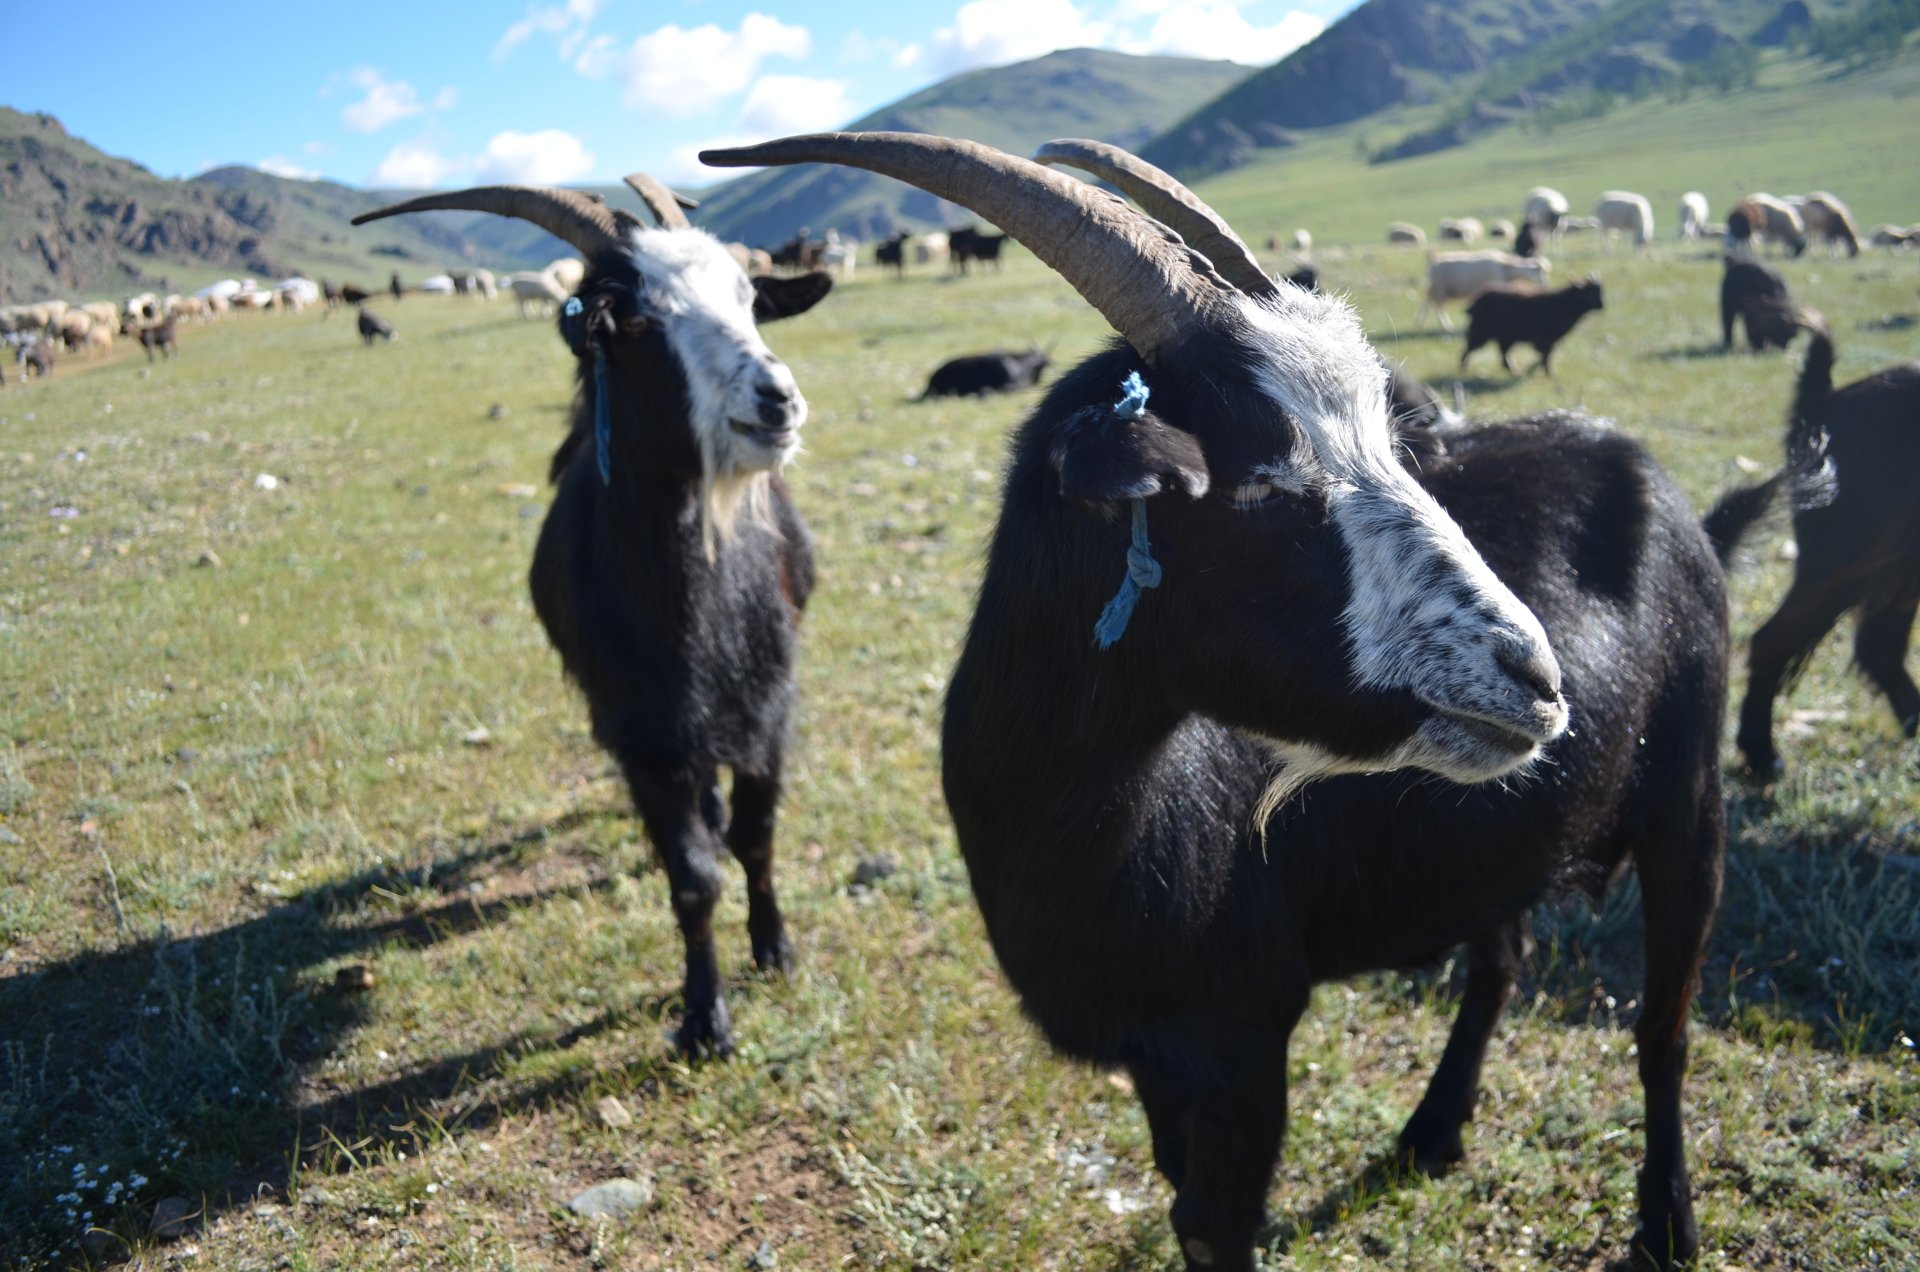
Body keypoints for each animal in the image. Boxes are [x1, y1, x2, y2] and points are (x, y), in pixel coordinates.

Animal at [355, 172, 833, 1058]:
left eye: (749, 297)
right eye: (635, 319)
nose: (776, 401)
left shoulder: (770, 702)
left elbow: (756, 837)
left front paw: (775, 949)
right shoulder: (638, 728)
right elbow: (692, 880)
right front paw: (704, 1019)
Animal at [1460, 277, 1603, 377]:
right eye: (1590, 292)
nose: (1602, 305)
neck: (1562, 303)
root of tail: (1475, 301)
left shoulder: (1548, 341)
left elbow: (1545, 356)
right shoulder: (1546, 340)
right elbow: (1546, 356)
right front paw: (1550, 373)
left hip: (1504, 337)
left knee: (1503, 353)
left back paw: (1513, 369)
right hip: (1481, 333)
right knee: (1470, 349)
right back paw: (1464, 367)